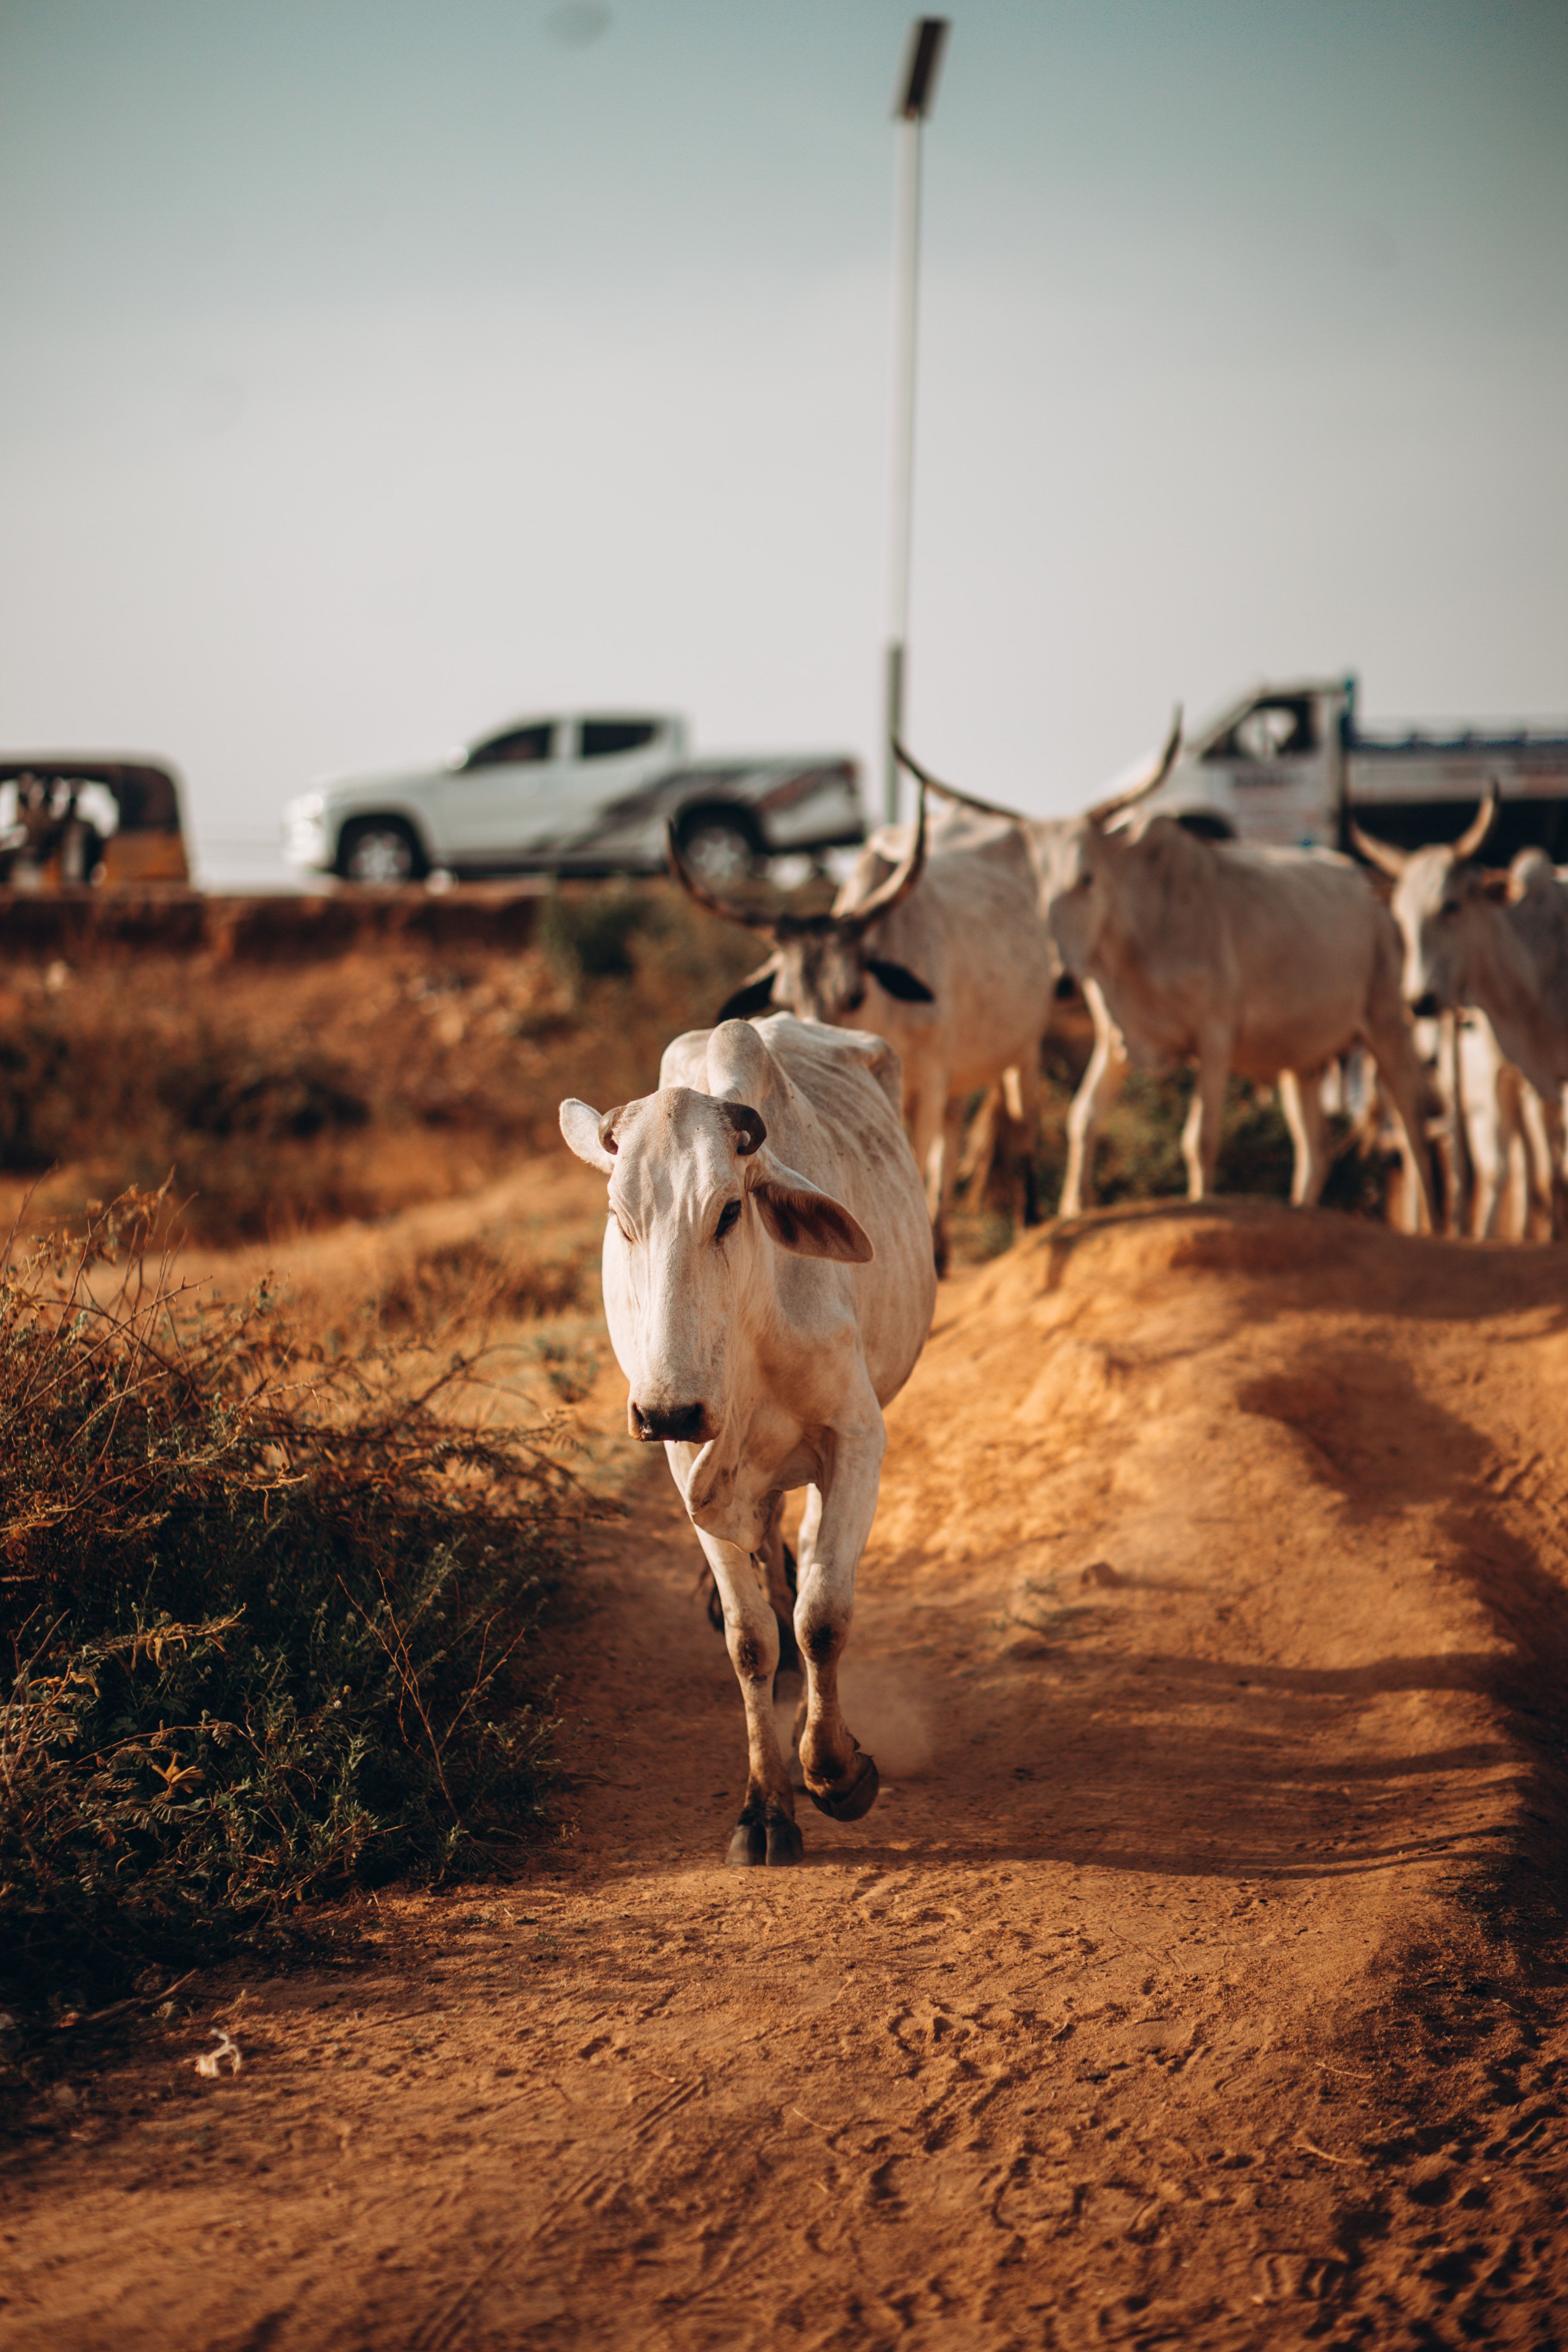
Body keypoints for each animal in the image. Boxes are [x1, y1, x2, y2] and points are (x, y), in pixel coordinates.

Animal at [559, 1012, 935, 1867]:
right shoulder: (691, 1468)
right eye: (620, 1219)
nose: (665, 1409)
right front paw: (765, 1806)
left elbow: (823, 1615)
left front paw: (834, 1770)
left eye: (730, 1211)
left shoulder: (855, 1441)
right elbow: (751, 1638)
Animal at [669, 763, 1062, 1274]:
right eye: (783, 998)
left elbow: (924, 1155)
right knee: (955, 1132)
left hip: (1025, 1048)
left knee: (1022, 1123)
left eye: (856, 994)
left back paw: (1029, 1220)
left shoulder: (929, 1081)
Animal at [1029, 752, 1438, 1227]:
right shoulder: (1116, 1040)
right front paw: (1071, 1211)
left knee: (1415, 1133)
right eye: (1036, 888)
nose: (1060, 979)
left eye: (1086, 879)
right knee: (1316, 1152)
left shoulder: (1215, 1038)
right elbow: (1083, 1117)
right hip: (1302, 1061)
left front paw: (1200, 1207)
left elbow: (1200, 1140)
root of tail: (1379, 901)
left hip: (1388, 1025)